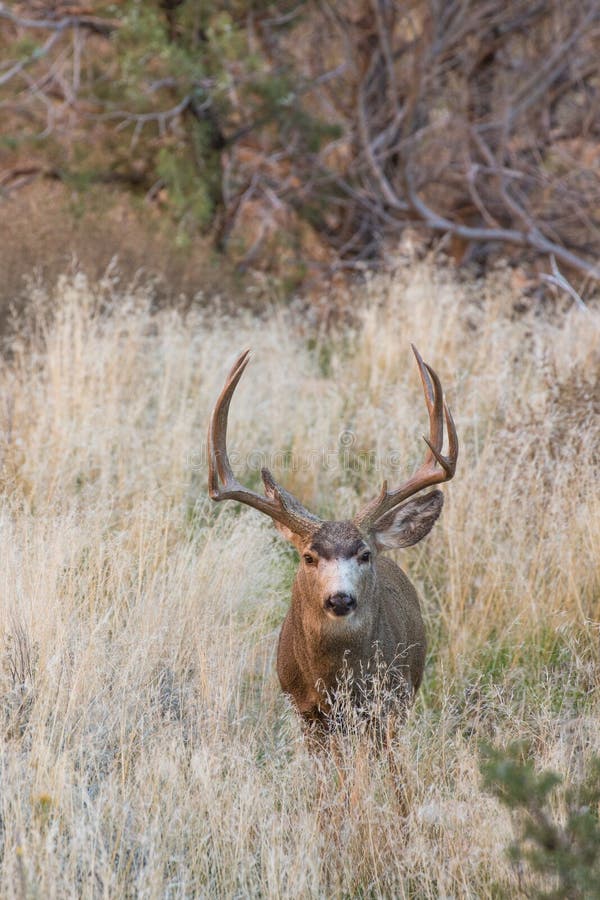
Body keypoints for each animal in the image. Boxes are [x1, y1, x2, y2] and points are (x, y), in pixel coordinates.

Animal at [207, 346, 458, 744]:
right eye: (309, 557)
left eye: (365, 554)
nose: (340, 599)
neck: (337, 682)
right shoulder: (305, 709)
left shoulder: (389, 702)